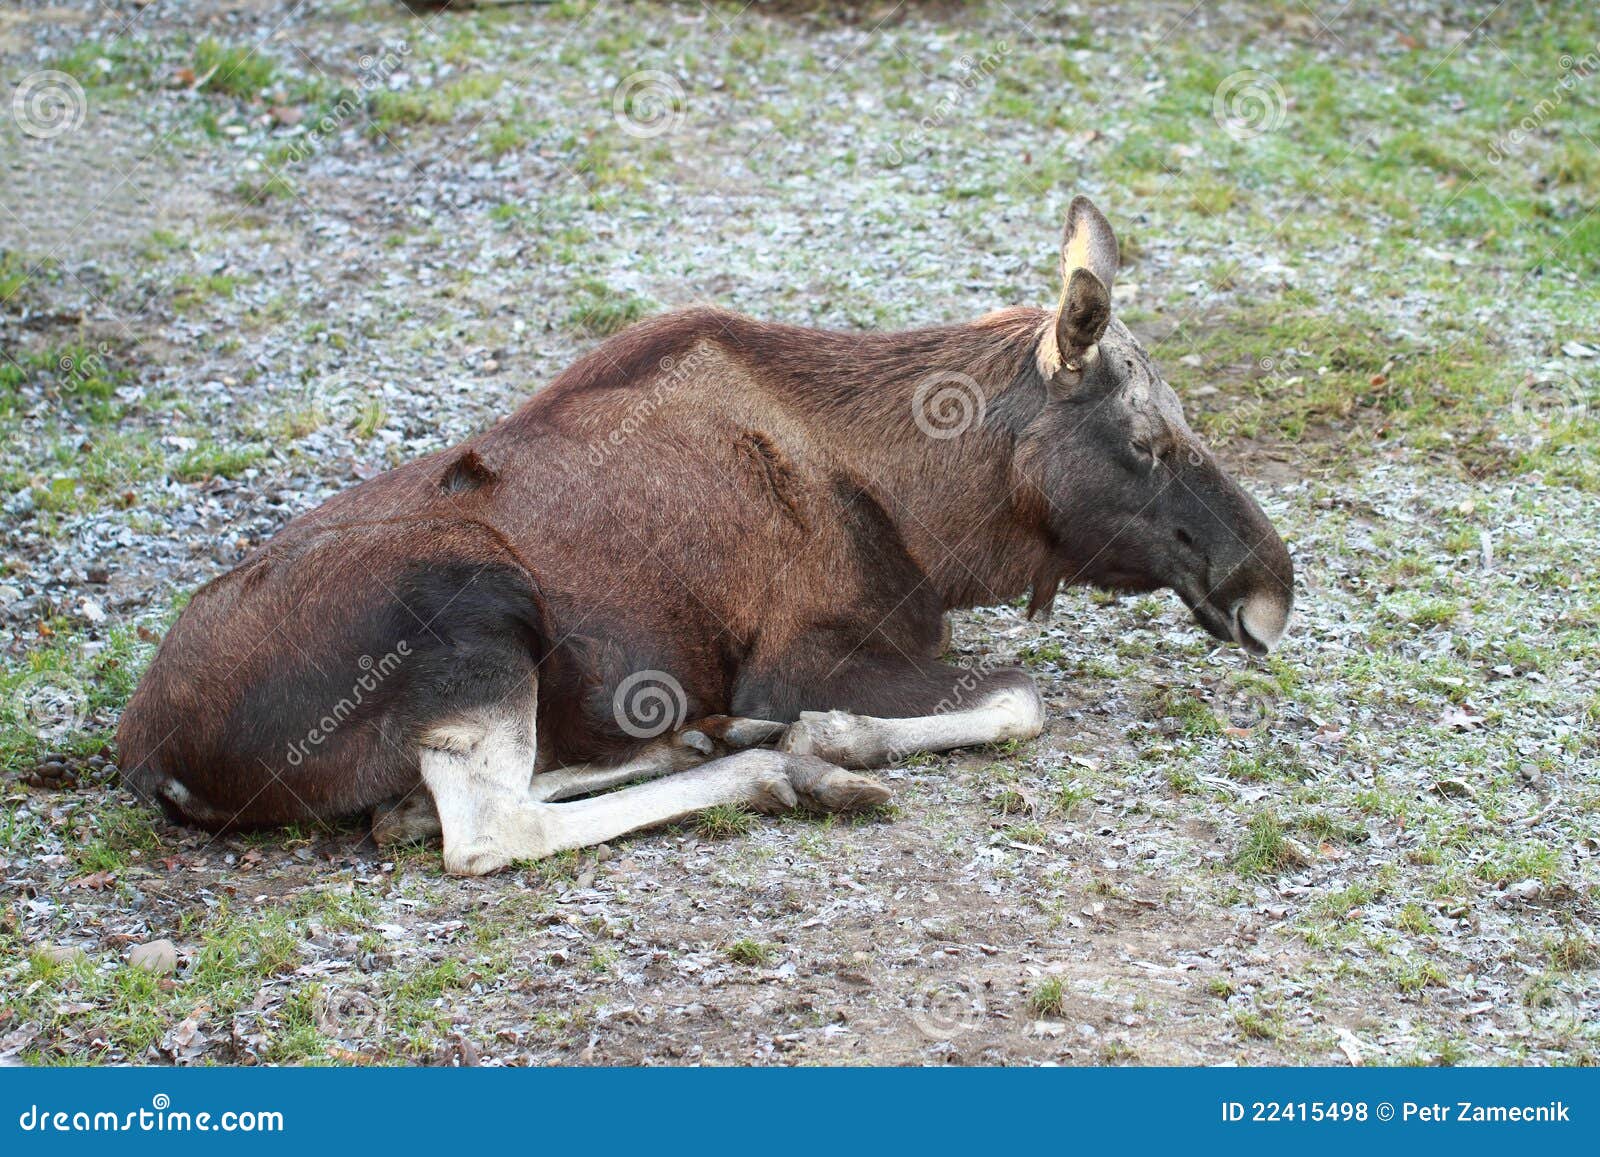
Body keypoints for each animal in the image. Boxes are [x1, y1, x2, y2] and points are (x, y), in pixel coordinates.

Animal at [116, 197, 1294, 876]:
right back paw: (776, 768)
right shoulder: (805, 653)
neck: (934, 523)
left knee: (448, 803)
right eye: (1144, 437)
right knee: (486, 830)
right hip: (477, 604)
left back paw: (698, 739)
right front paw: (830, 740)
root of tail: (149, 759)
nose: (1270, 584)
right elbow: (1016, 700)